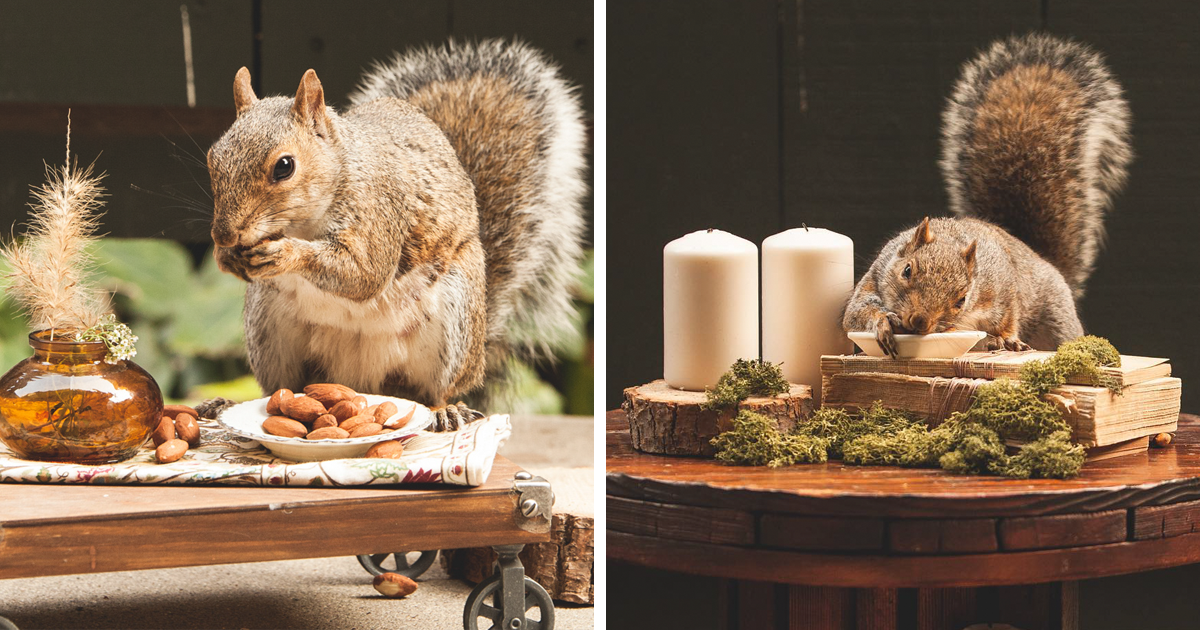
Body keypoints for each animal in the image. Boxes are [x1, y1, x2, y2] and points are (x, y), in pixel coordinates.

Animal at [205, 39, 587, 430]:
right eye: (212, 158)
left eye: (284, 166)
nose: (224, 235)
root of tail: (360, 381)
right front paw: (226, 258)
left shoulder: (381, 214)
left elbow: (364, 275)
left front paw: (286, 253)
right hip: (268, 329)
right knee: (280, 388)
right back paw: (223, 406)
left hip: (456, 321)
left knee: (437, 391)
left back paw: (445, 411)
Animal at [843, 33, 1132, 357]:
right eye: (906, 270)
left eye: (961, 299)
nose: (919, 322)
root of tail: (1044, 260)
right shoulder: (872, 281)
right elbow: (856, 315)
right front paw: (883, 324)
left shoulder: (1002, 291)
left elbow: (1008, 316)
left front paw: (1006, 338)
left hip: (1057, 317)